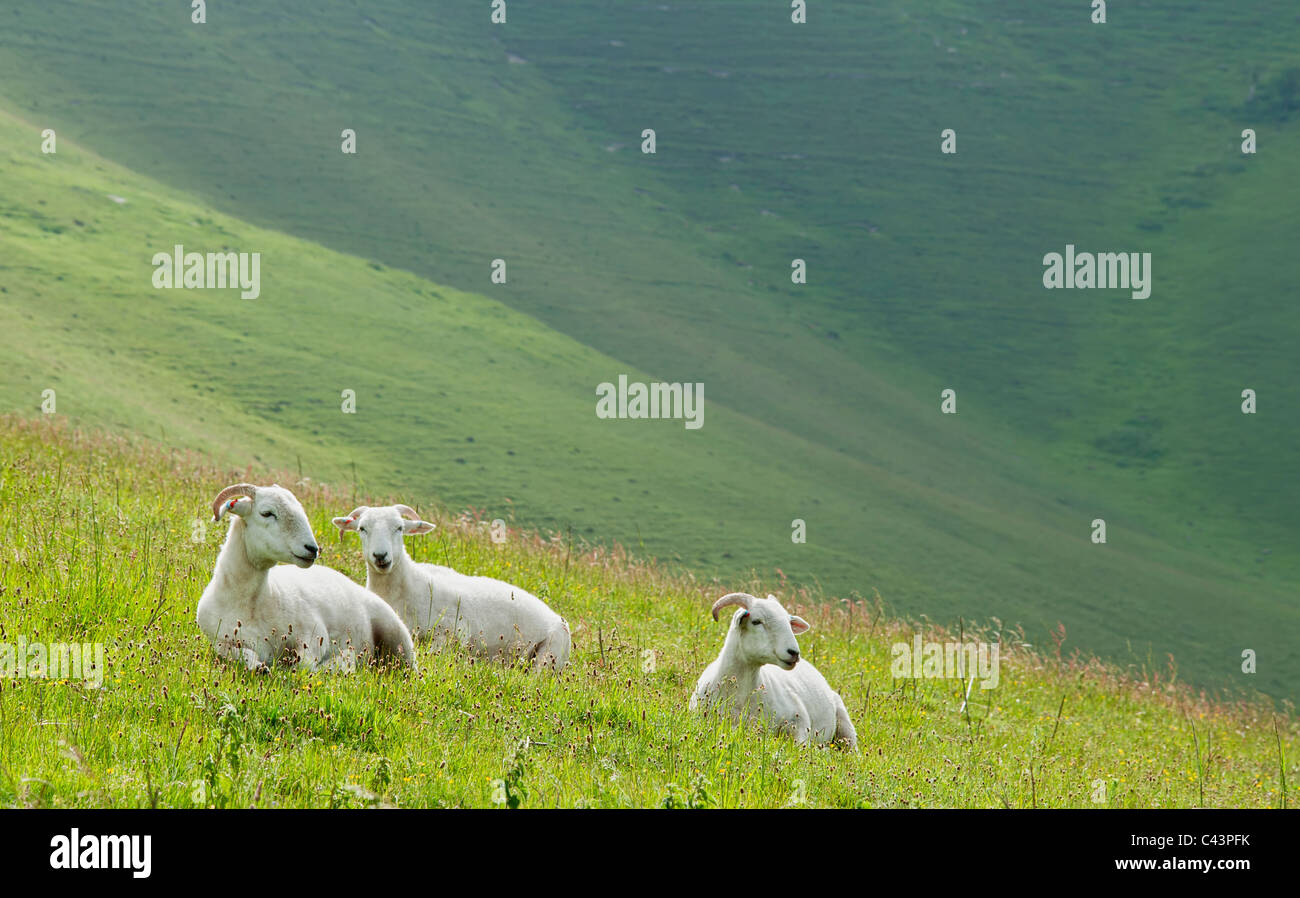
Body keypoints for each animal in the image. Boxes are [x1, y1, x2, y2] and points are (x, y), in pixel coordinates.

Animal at [196, 484, 416, 672]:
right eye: (266, 513)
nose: (312, 548)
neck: (248, 602)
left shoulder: (314, 633)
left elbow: (306, 665)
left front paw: (339, 662)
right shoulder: (220, 641)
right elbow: (241, 655)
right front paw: (259, 667)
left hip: (396, 634)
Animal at [331, 504, 571, 672]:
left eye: (399, 528)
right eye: (362, 528)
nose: (381, 556)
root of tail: (557, 617)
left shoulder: (451, 633)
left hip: (549, 656)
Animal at [689, 592, 857, 749]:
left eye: (789, 622)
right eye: (756, 621)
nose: (794, 652)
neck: (739, 696)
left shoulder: (799, 718)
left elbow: (801, 746)